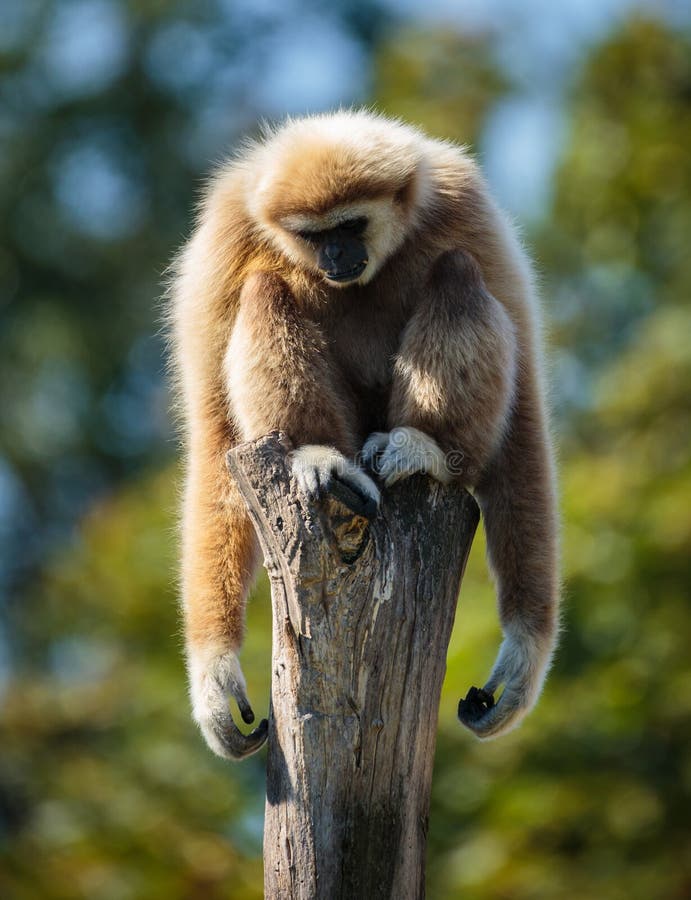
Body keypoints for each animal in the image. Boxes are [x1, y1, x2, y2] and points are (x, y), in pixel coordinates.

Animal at [169, 110, 560, 760]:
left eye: (351, 224)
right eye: (313, 234)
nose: (337, 251)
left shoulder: (466, 204)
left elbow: (524, 413)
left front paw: (524, 656)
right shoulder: (225, 235)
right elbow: (213, 431)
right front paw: (214, 679)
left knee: (458, 271)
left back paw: (424, 449)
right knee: (264, 286)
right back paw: (321, 457)